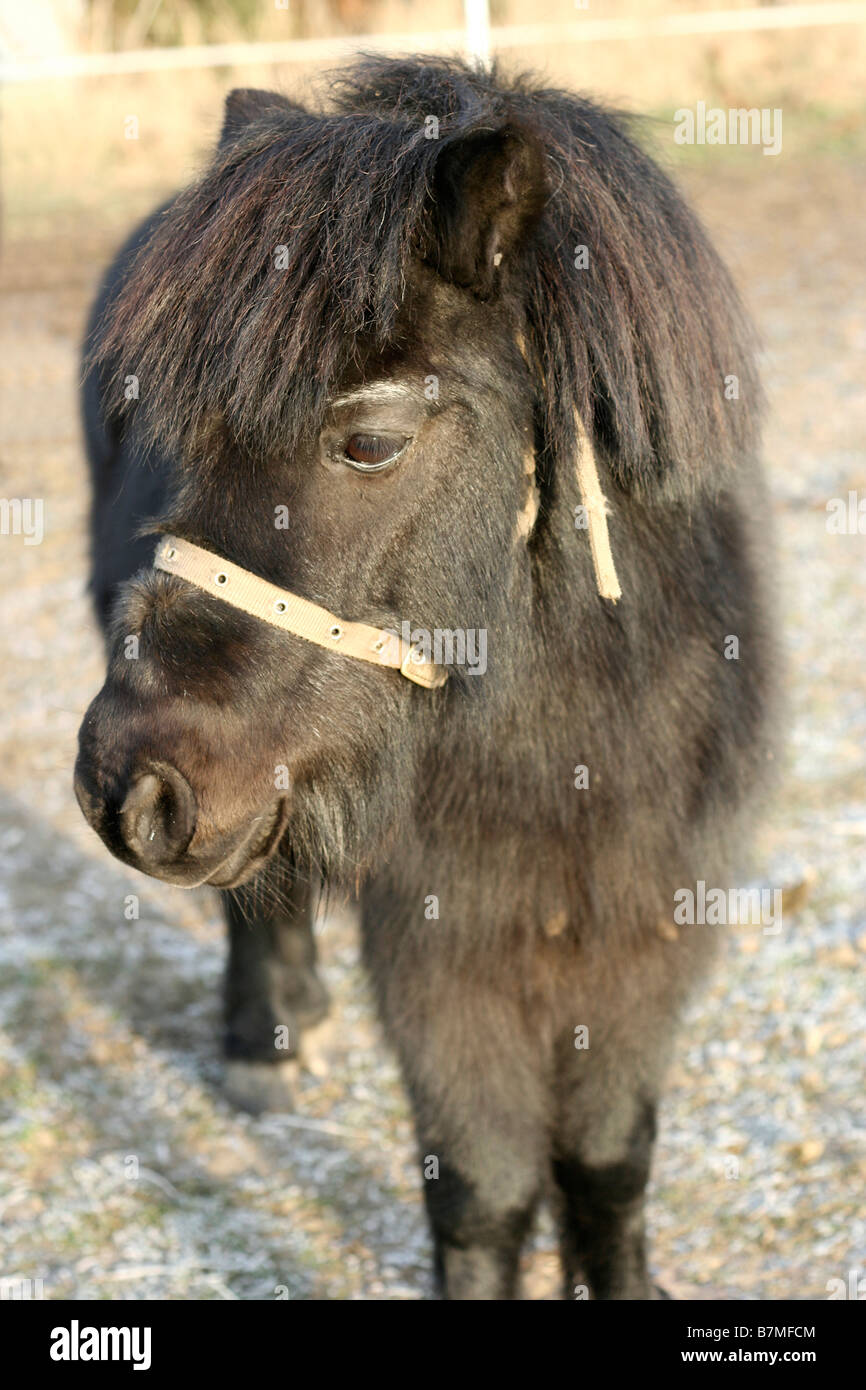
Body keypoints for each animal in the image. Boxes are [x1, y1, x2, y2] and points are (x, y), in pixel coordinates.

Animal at [74, 56, 774, 1299]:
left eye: (370, 441)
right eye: (159, 420)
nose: (128, 786)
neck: (557, 746)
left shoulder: (643, 928)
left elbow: (607, 1159)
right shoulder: (438, 953)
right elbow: (483, 1189)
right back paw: (264, 1043)